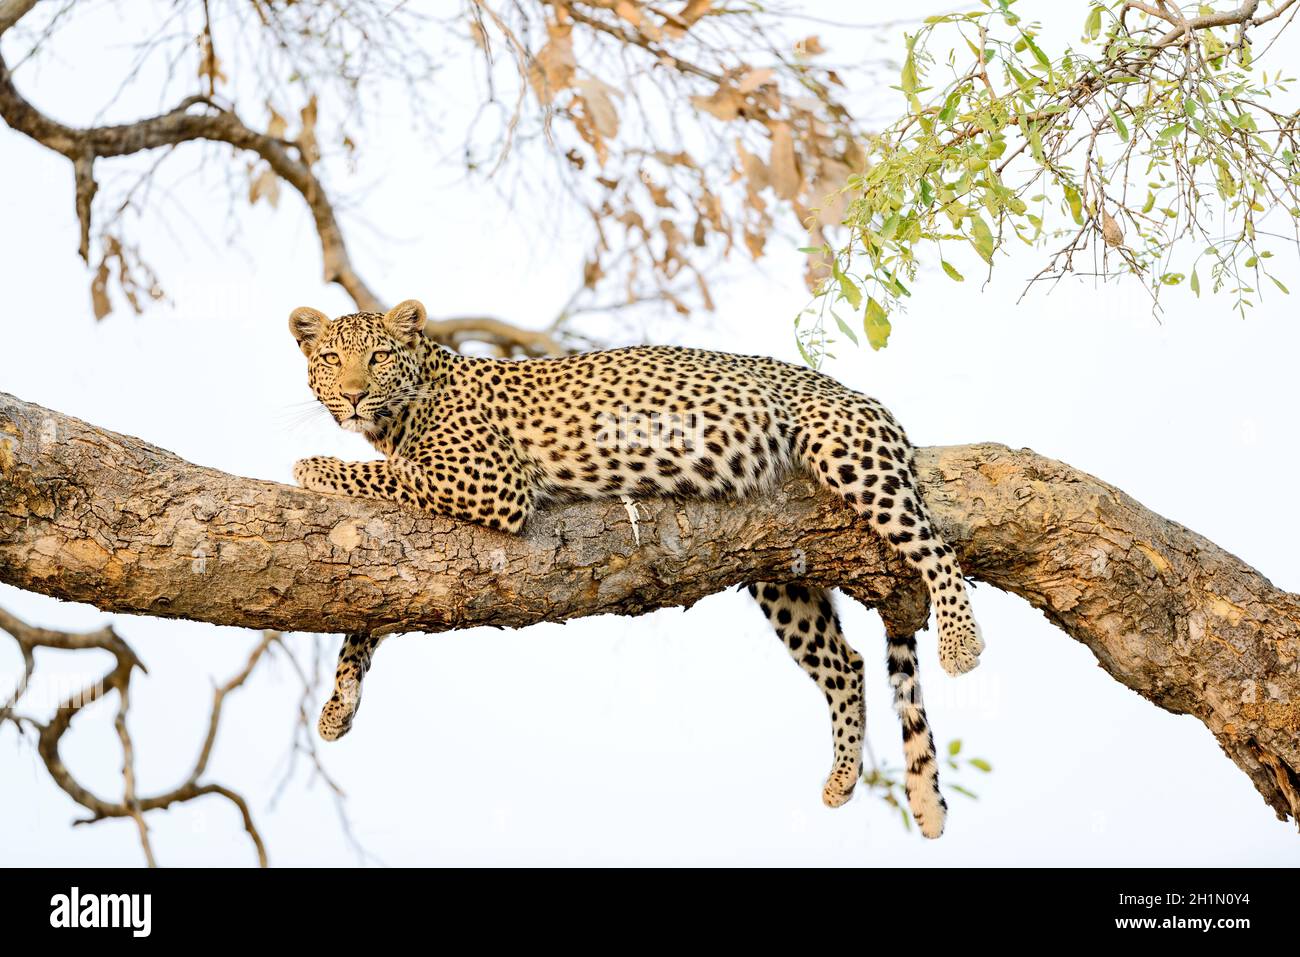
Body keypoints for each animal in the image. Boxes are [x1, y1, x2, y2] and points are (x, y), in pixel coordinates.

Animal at [289, 298, 983, 838]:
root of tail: (866, 399)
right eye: (332, 359)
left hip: (851, 454)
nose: (353, 396)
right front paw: (338, 705)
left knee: (935, 551)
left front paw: (311, 468)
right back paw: (841, 778)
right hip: (779, 569)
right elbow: (373, 606)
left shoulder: (490, 482)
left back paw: (962, 643)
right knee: (848, 664)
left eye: (377, 357)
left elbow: (378, 476)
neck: (401, 412)